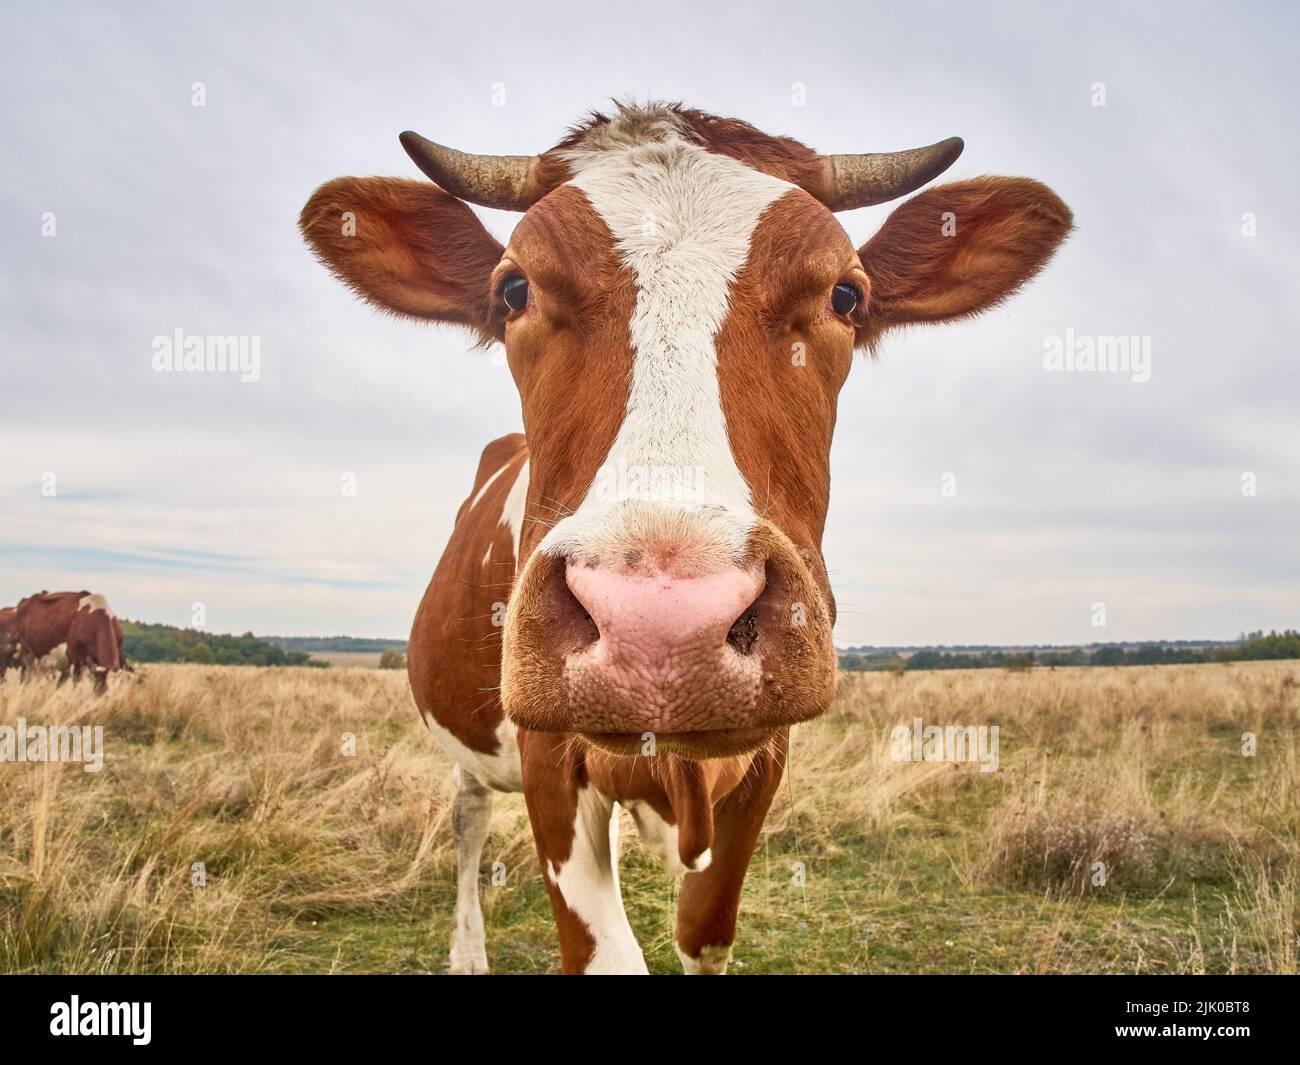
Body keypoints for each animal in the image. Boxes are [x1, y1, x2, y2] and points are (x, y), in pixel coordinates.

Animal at [300, 103, 1071, 974]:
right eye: (513, 289)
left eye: (846, 294)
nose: (662, 628)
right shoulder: (546, 760)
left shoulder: (765, 763)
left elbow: (705, 928)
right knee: (467, 814)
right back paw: (467, 949)